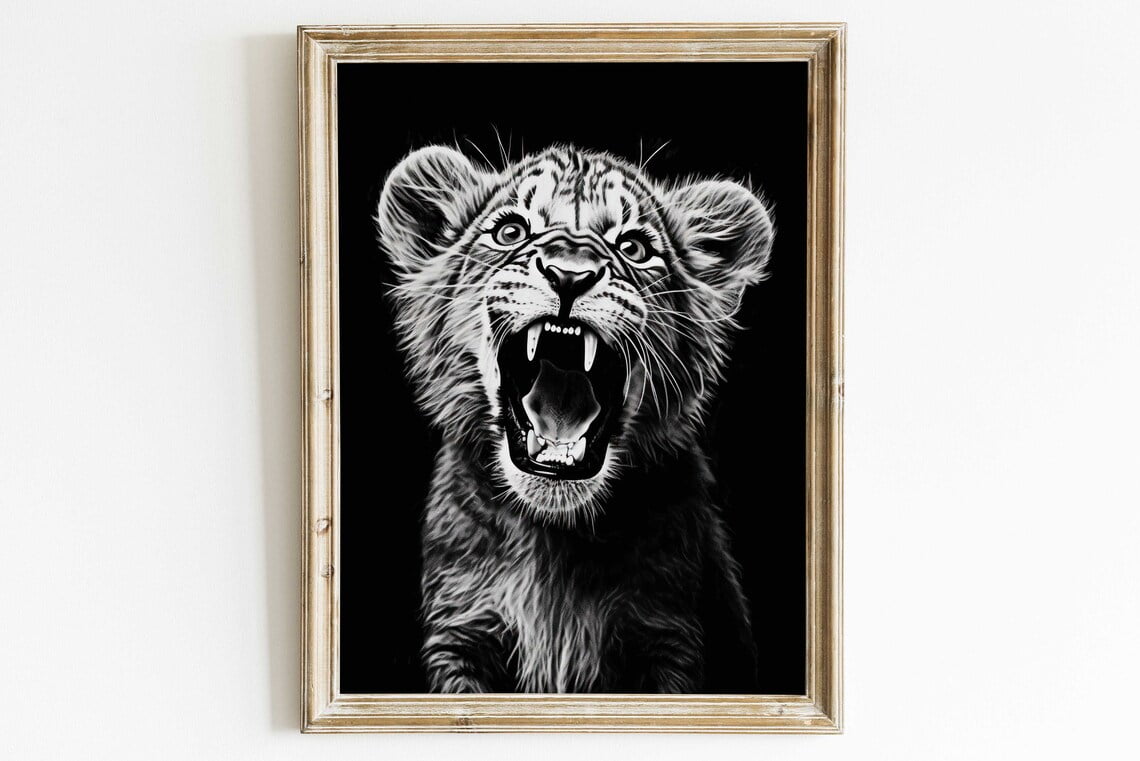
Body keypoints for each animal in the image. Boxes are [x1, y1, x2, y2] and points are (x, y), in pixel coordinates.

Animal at [375, 144, 774, 693]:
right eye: (510, 232)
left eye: (634, 247)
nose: (569, 275)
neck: (554, 540)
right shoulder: (460, 634)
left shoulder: (669, 637)